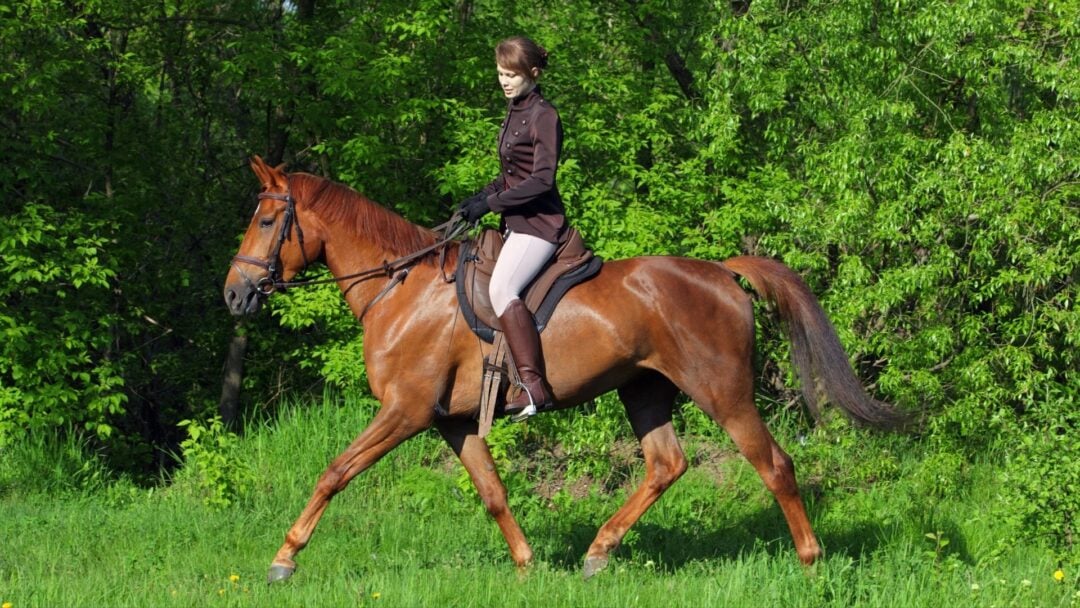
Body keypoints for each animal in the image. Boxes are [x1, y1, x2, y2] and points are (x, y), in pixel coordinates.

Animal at [224, 156, 907, 583]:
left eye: (266, 220)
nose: (234, 294)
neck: (403, 289)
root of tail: (721, 271)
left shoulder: (405, 411)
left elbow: (334, 472)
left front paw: (285, 558)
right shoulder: (451, 421)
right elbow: (494, 493)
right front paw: (528, 564)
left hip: (724, 392)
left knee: (774, 465)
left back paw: (810, 561)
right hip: (644, 391)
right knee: (667, 464)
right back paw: (598, 552)